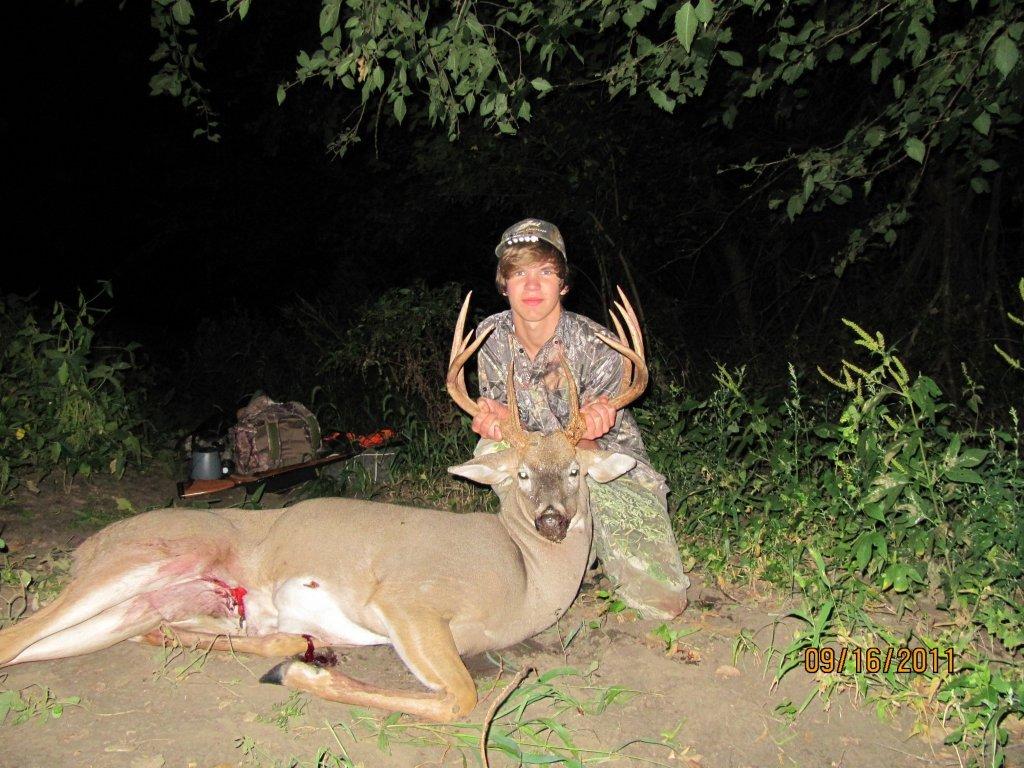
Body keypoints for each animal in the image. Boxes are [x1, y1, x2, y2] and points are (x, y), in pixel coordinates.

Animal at [0, 291, 649, 723]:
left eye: (575, 472)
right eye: (520, 474)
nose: (551, 520)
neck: (522, 579)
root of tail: (86, 546)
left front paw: (299, 663)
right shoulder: (407, 599)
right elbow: (461, 698)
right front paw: (300, 677)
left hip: (151, 605)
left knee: (131, 633)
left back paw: (287, 646)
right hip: (153, 554)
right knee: (16, 636)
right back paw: (294, 655)